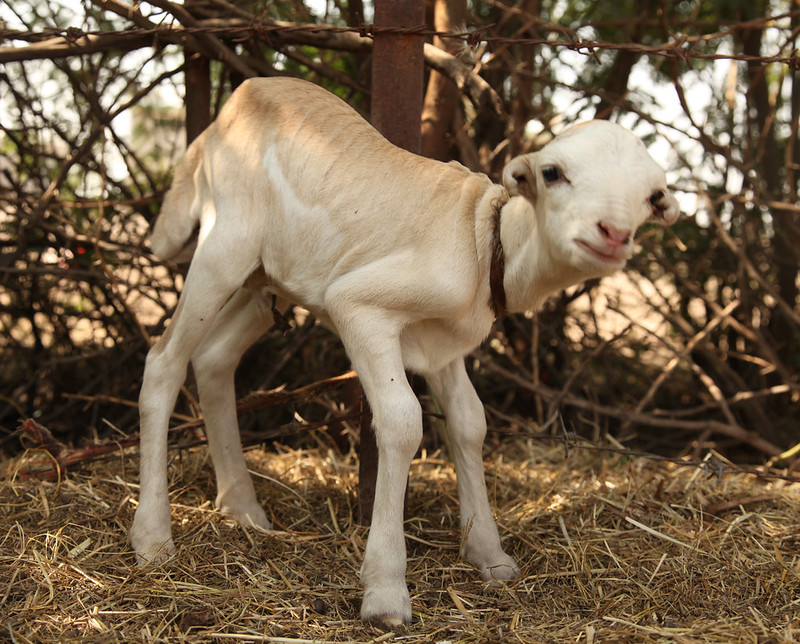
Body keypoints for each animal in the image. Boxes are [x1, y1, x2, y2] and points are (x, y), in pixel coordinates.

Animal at [130, 76, 680, 627]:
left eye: (653, 197)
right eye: (553, 173)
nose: (614, 234)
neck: (486, 238)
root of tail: (236, 101)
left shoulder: (445, 345)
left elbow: (470, 423)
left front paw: (490, 556)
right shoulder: (357, 305)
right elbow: (401, 421)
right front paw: (386, 592)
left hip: (272, 278)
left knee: (214, 356)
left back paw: (243, 509)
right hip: (227, 240)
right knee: (163, 361)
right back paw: (152, 538)